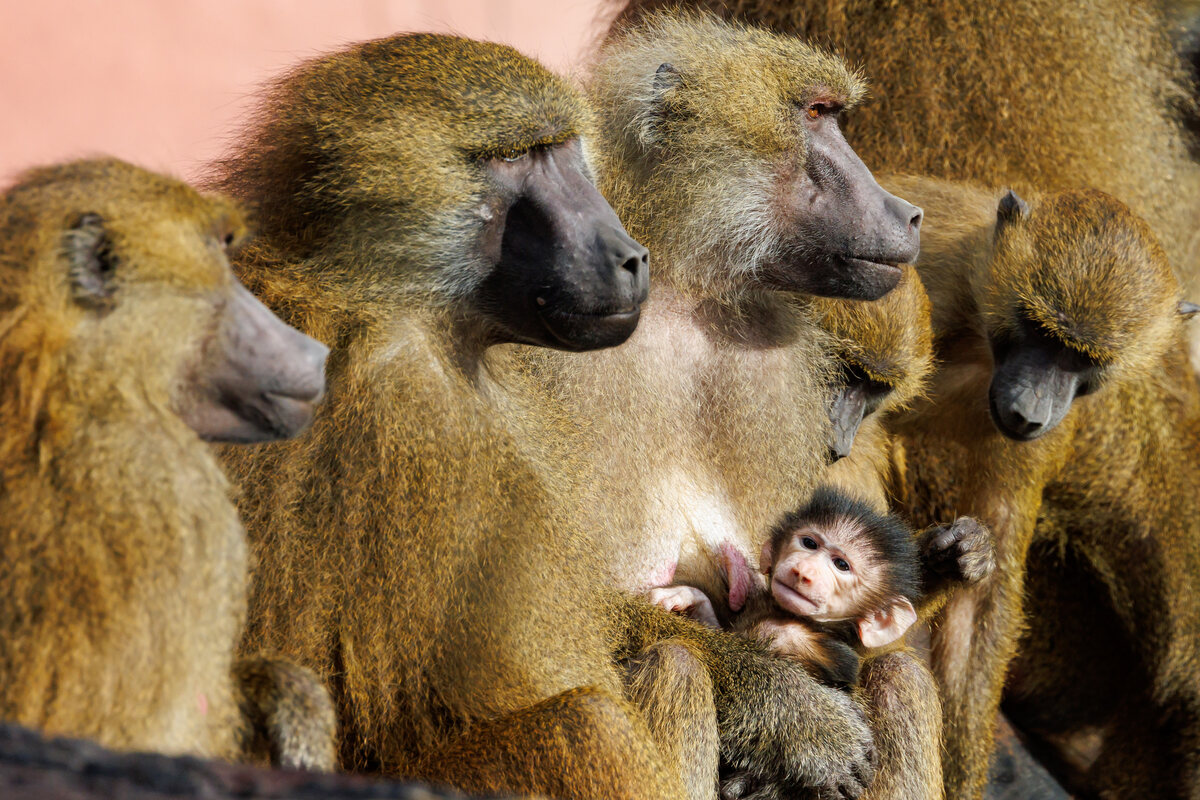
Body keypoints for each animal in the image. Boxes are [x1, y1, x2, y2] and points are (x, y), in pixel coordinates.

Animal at [506, 12, 945, 800]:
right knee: (674, 667)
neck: (678, 286)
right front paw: (796, 719)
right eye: (816, 114)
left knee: (899, 677)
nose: (908, 212)